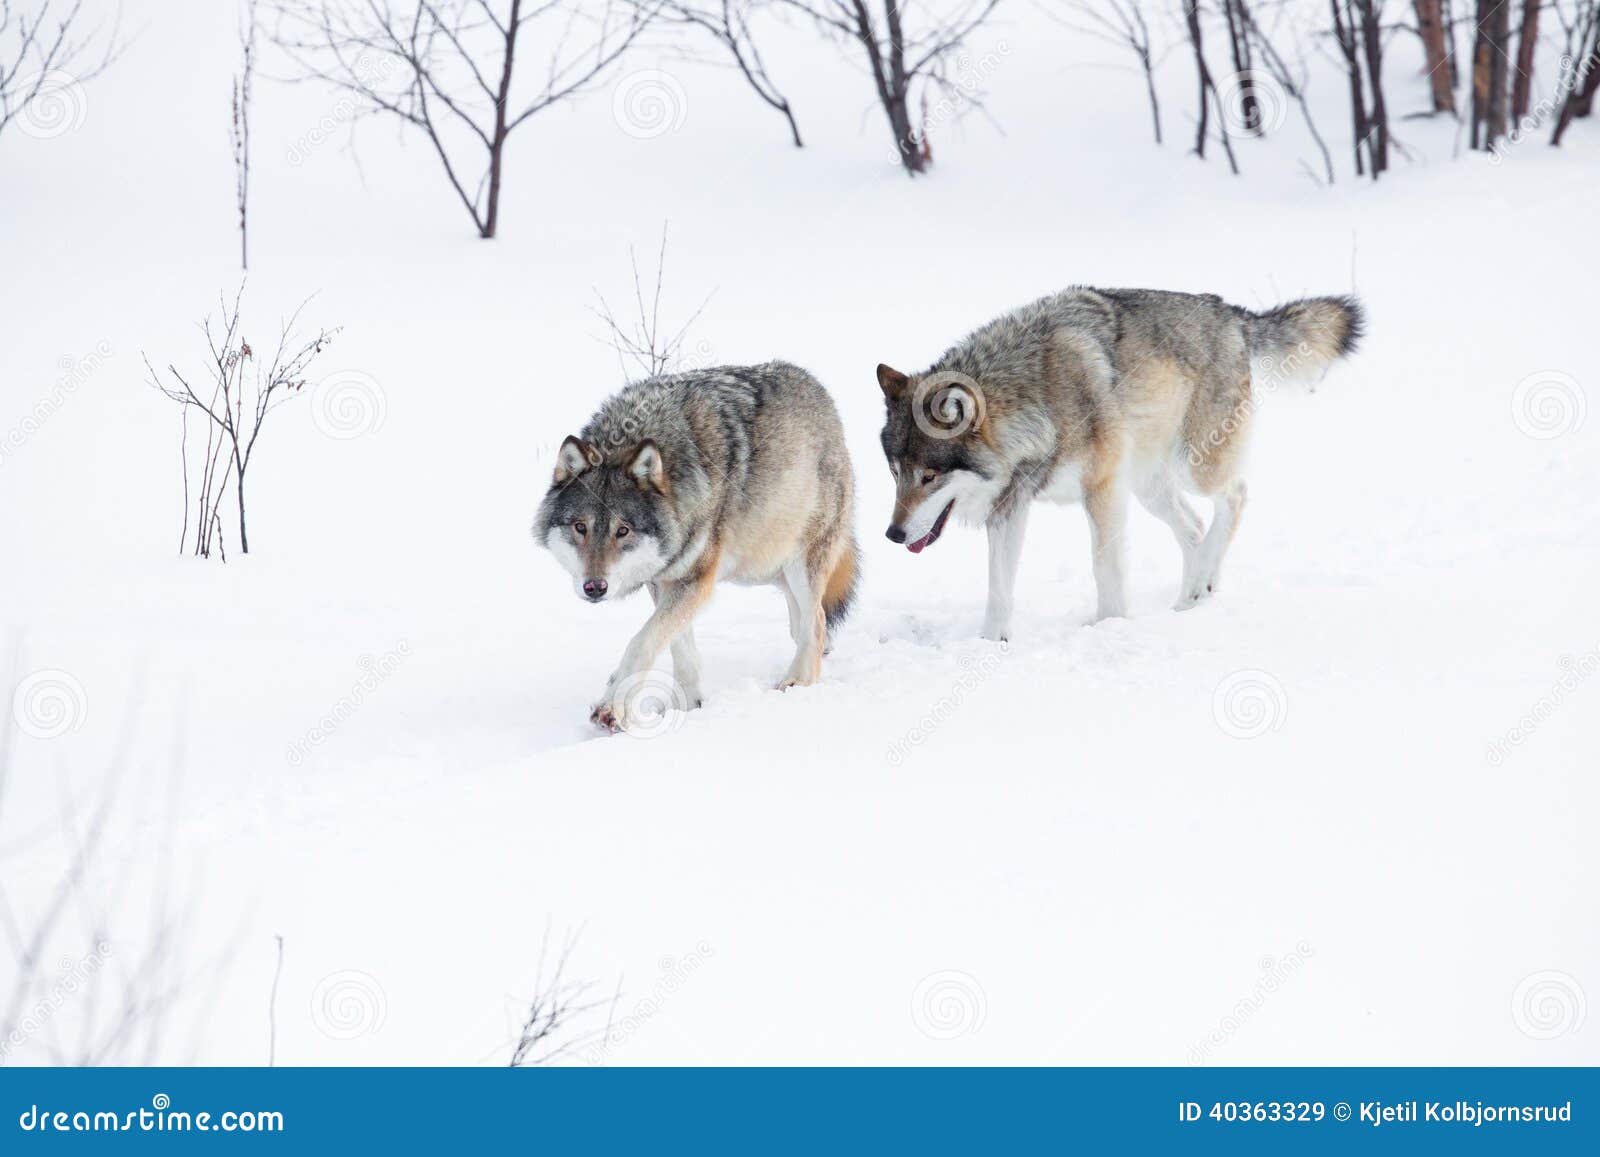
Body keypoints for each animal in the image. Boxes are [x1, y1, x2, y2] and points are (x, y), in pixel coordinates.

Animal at [536, 362, 859, 732]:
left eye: (623, 530)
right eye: (580, 527)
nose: (595, 587)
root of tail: (817, 388)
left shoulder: (696, 581)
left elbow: (642, 641)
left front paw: (613, 708)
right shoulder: (664, 580)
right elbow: (680, 647)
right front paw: (689, 706)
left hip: (799, 565)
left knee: (816, 621)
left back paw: (797, 683)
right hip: (768, 571)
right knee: (806, 625)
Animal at [876, 288, 1364, 639]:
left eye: (929, 476)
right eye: (896, 474)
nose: (893, 535)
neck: (1038, 399)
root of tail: (1233, 314)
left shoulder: (1103, 487)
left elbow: (1104, 566)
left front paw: (1110, 624)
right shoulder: (1010, 506)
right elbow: (999, 587)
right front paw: (990, 643)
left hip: (1194, 467)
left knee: (1235, 496)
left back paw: (1200, 584)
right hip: (1149, 487)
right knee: (1194, 526)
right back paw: (1193, 596)